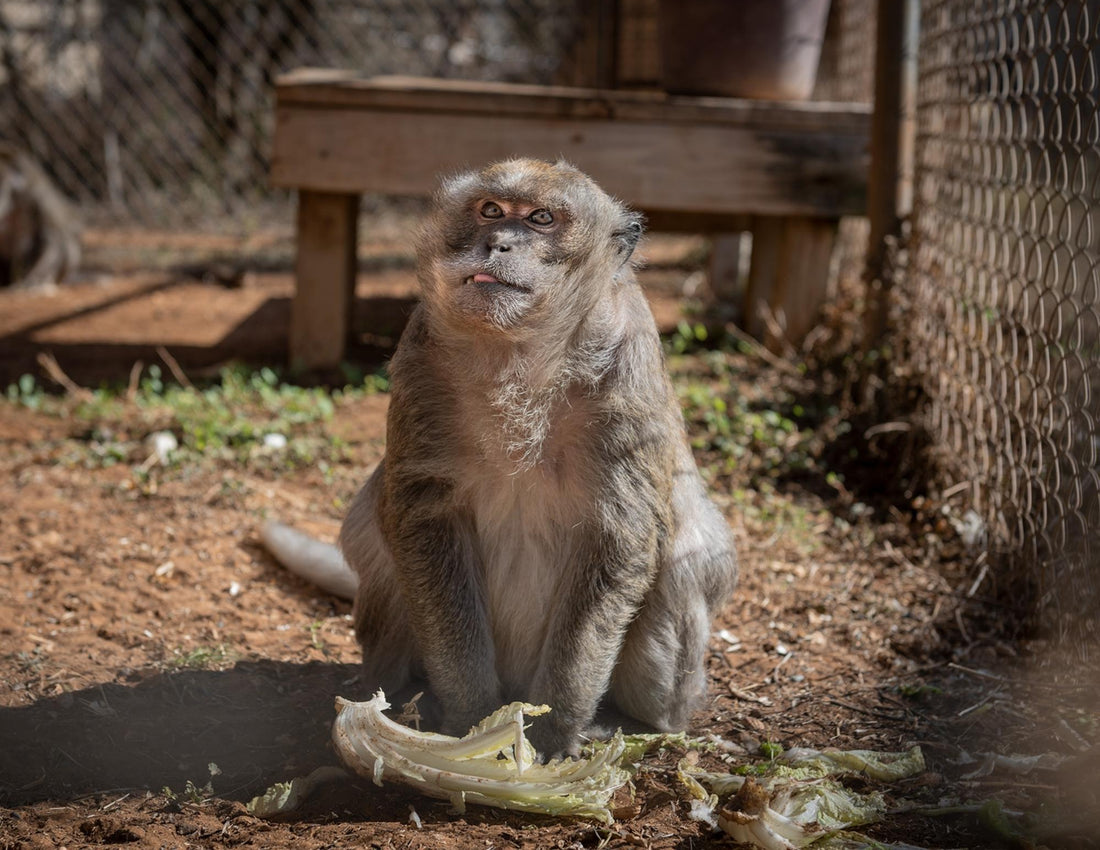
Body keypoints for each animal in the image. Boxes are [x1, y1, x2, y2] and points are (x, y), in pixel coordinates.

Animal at [262, 158, 738, 757]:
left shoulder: (626, 365)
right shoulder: (422, 360)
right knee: (375, 538)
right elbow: (423, 515)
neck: (521, 354)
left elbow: (620, 538)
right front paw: (471, 716)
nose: (497, 243)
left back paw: (638, 722)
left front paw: (556, 727)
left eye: (540, 219)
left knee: (684, 561)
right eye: (491, 210)